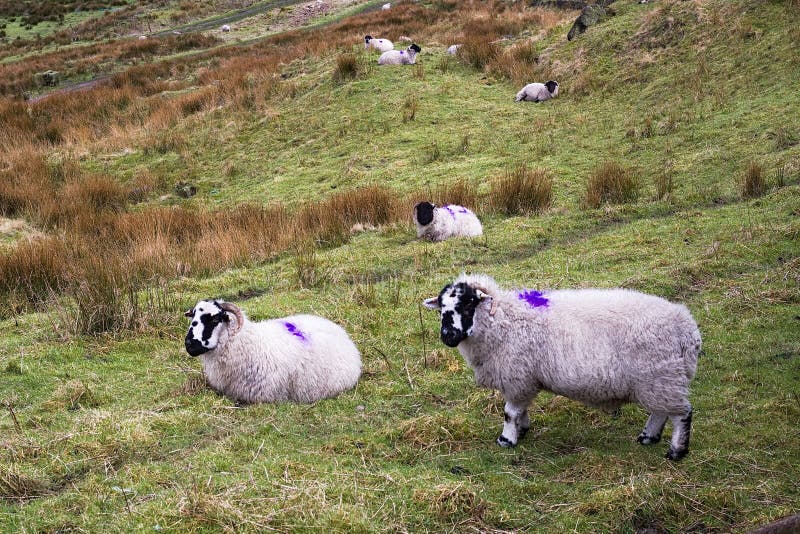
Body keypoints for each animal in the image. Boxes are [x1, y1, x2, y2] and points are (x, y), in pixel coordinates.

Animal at [423, 273, 702, 461]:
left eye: (468, 303)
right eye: (441, 309)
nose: (448, 336)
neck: (503, 320)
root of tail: (688, 329)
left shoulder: (517, 376)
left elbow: (509, 412)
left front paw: (506, 439)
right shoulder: (524, 380)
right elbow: (520, 409)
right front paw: (523, 429)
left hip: (660, 375)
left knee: (682, 414)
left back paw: (676, 451)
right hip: (659, 379)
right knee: (661, 411)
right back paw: (648, 437)